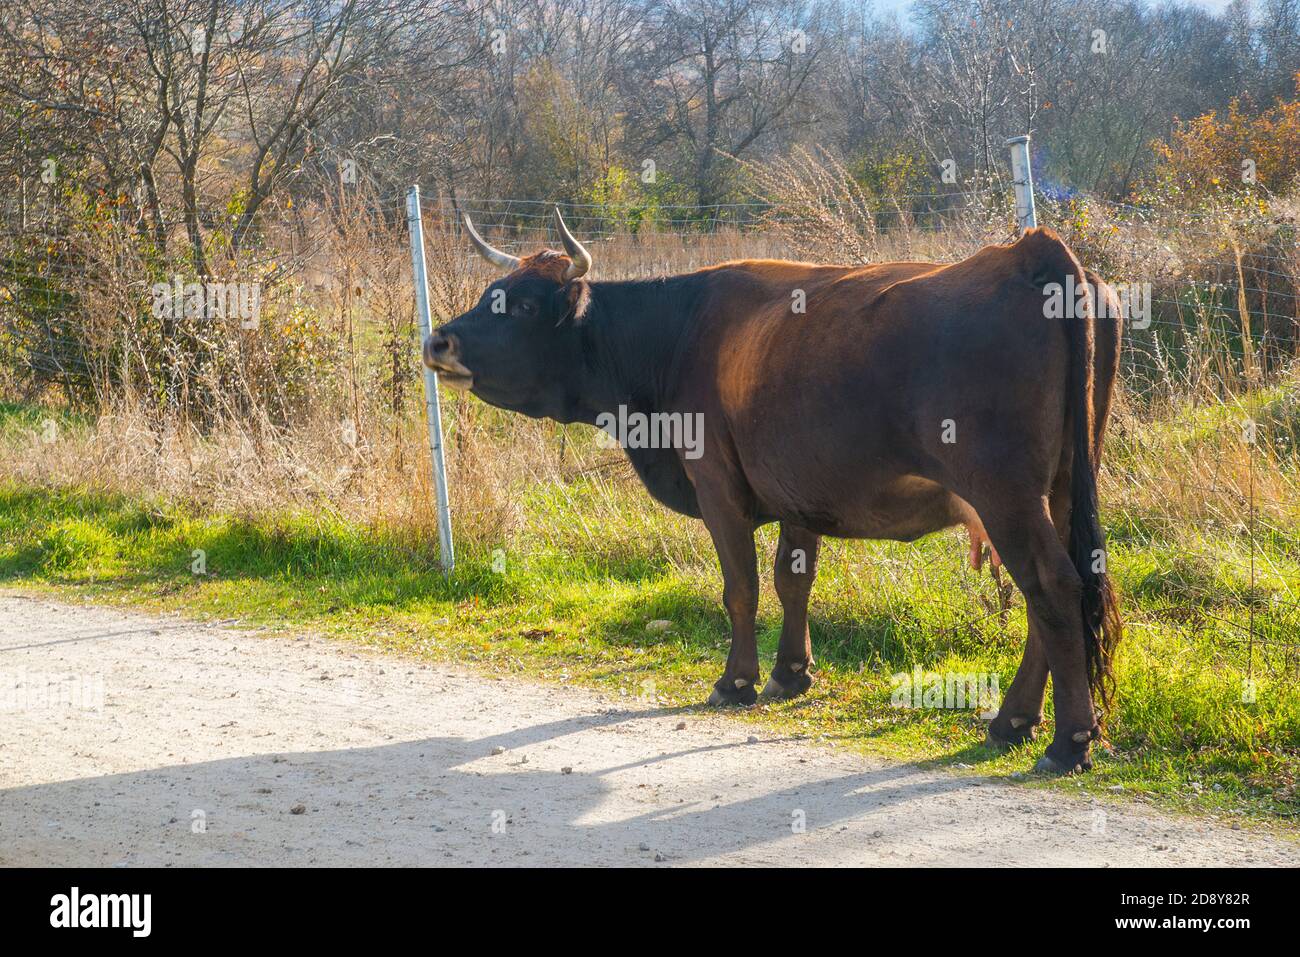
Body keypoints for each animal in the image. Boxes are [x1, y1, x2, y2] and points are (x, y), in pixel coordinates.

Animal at [423, 208, 1123, 773]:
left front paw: (736, 682)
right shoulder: (800, 492)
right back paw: (1013, 722)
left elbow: (742, 589)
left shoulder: (717, 487)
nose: (437, 339)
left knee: (1052, 588)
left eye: (522, 305)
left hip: (1006, 496)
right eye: (490, 292)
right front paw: (791, 674)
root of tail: (1027, 253)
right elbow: (794, 580)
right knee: (1051, 596)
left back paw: (1065, 742)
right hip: (1059, 491)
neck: (677, 331)